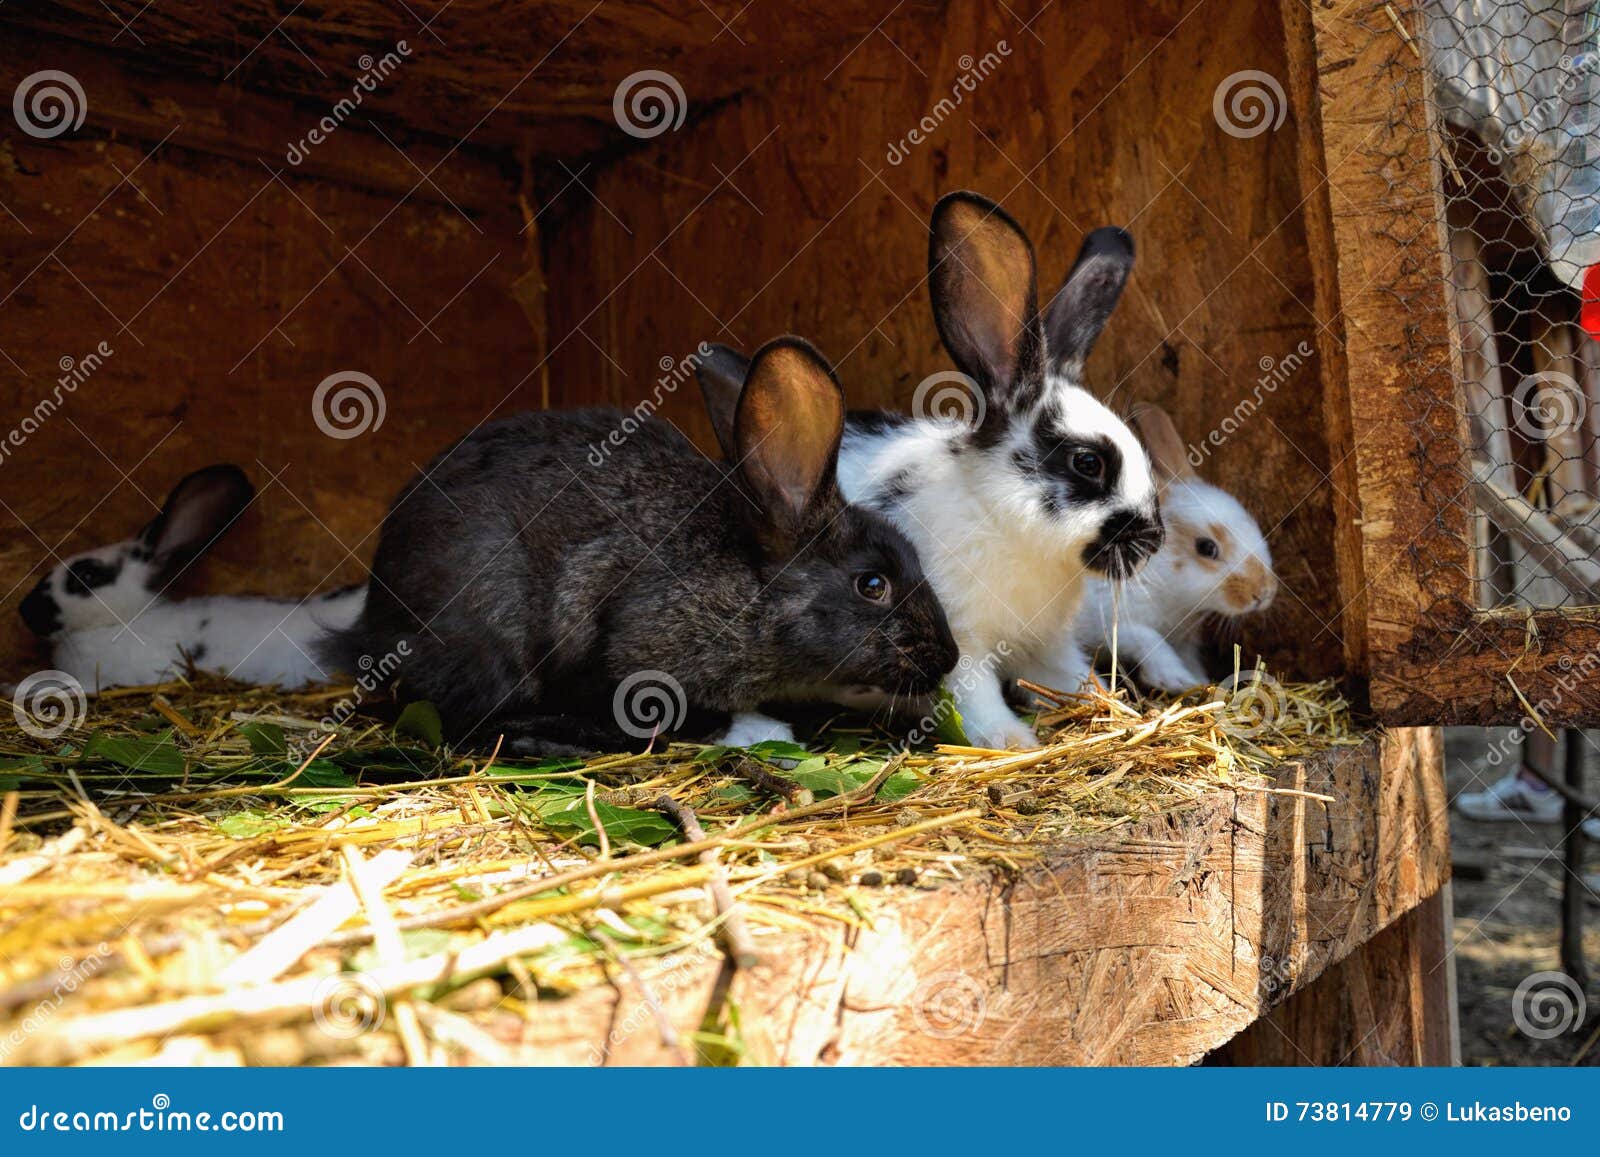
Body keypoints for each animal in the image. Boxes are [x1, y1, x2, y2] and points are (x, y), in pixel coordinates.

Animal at [695, 192, 1163, 749]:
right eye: (1087, 462)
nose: (1155, 539)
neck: (1001, 521)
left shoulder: (1047, 642)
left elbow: (1069, 677)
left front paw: (1112, 706)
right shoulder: (959, 642)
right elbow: (976, 700)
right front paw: (1012, 742)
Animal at [1071, 405, 1277, 691]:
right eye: (1206, 548)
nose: (1265, 593)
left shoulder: (1184, 639)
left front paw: (1200, 680)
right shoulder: (1109, 622)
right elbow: (1148, 639)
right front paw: (1176, 680)